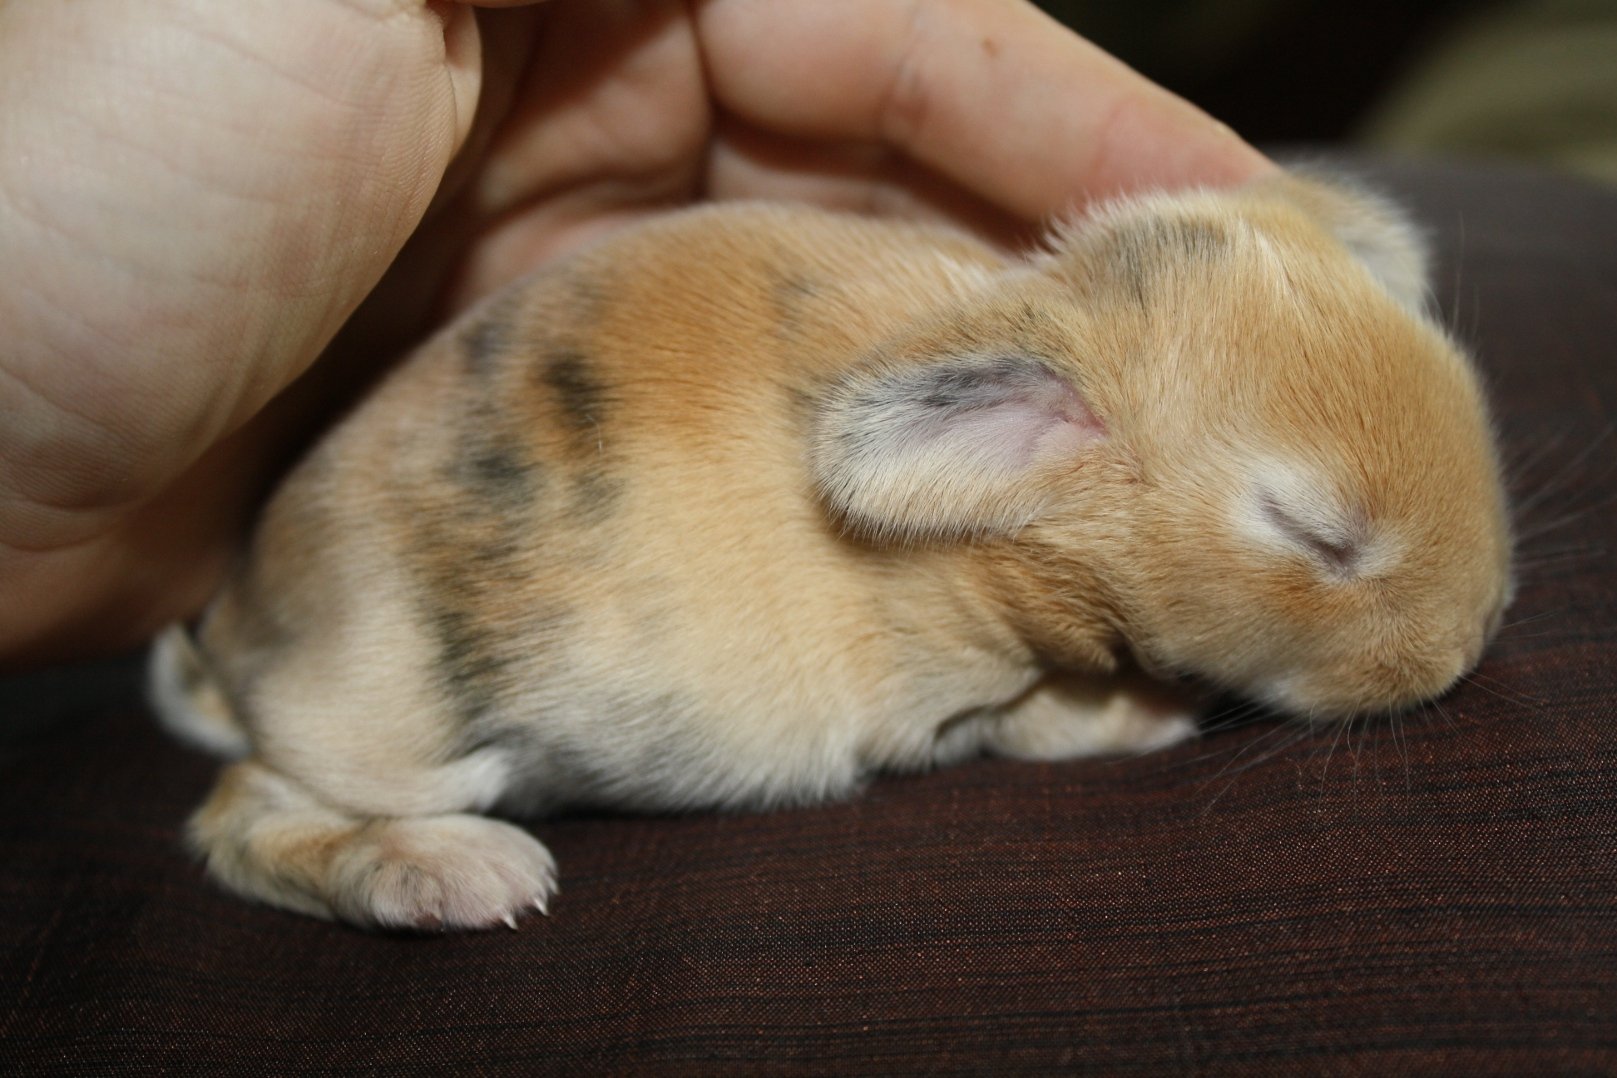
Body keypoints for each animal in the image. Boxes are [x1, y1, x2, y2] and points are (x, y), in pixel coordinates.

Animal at [148, 172, 1513, 931]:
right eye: (1314, 533)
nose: (1467, 642)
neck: (1011, 520)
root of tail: (240, 644)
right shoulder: (957, 690)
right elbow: (1045, 723)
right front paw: (1151, 717)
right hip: (402, 721)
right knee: (239, 818)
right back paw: (454, 874)